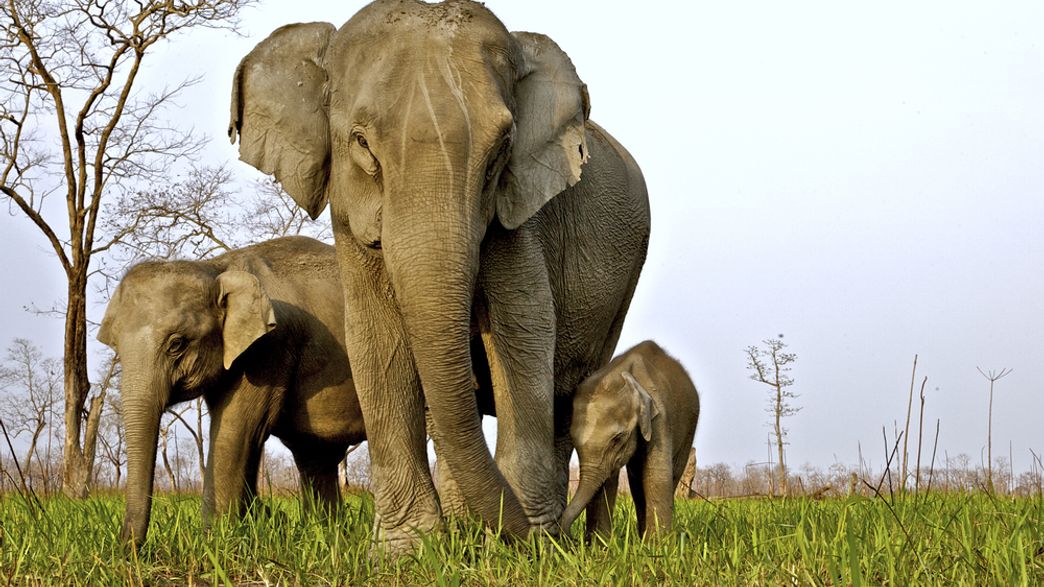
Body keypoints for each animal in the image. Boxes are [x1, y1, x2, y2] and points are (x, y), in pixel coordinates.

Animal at [97, 236, 366, 545]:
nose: (128, 550)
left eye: (177, 344)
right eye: (116, 347)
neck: (216, 268)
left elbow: (235, 431)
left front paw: (213, 544)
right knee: (316, 455)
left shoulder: (268, 348)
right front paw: (251, 525)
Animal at [228, 0, 650, 551]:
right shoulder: (350, 217)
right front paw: (406, 552)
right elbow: (376, 338)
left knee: (567, 393)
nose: (530, 535)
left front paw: (530, 545)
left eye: (501, 149)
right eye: (361, 143)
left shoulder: (520, 214)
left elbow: (524, 332)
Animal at [560, 341, 700, 539]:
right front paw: (601, 544)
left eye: (618, 439)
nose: (571, 537)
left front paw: (658, 545)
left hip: (690, 427)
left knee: (669, 475)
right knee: (637, 483)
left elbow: (657, 476)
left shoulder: (660, 417)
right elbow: (607, 480)